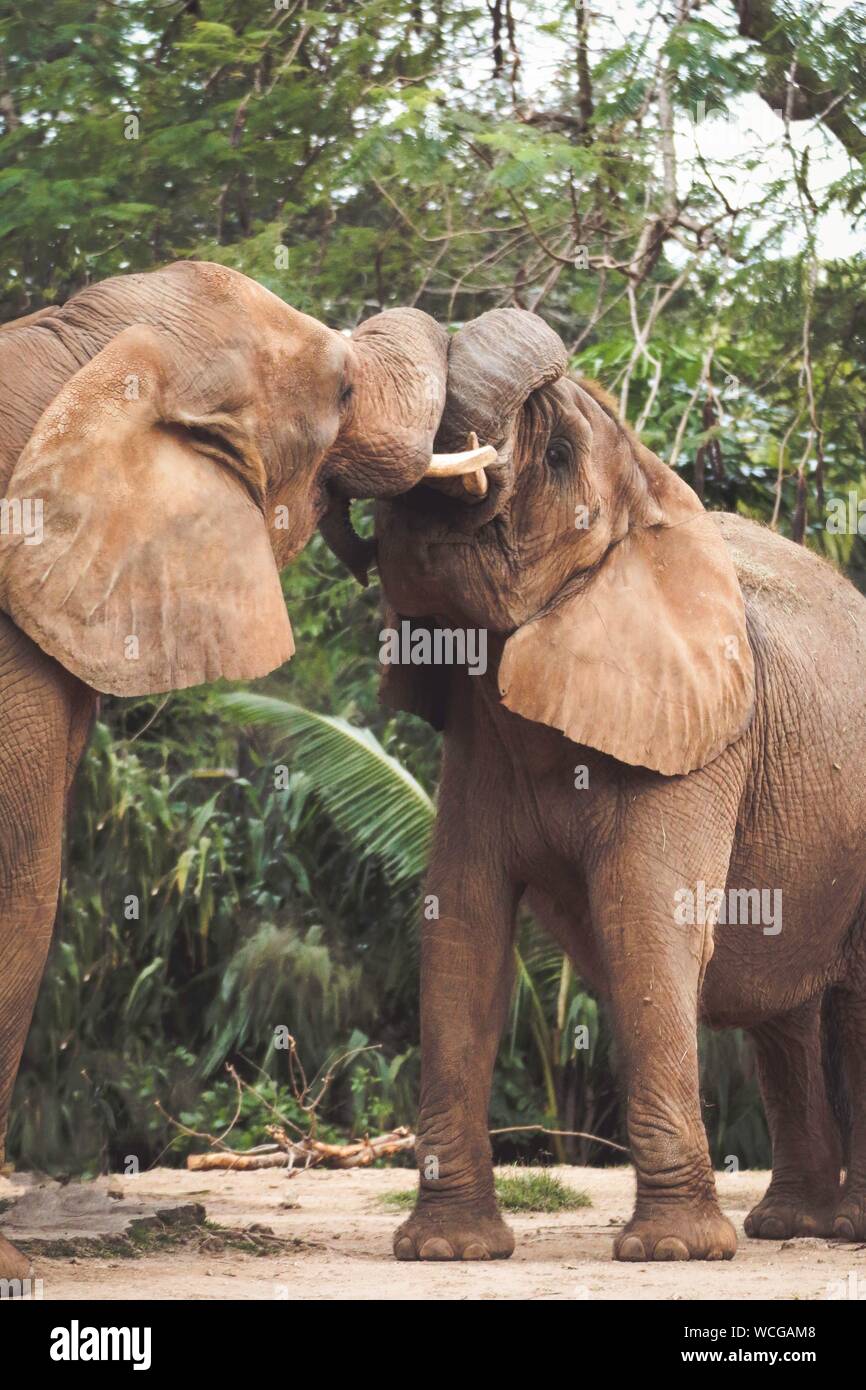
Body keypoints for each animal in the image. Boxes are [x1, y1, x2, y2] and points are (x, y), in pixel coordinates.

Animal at [372, 306, 866, 1263]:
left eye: (560, 455)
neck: (646, 484)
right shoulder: (475, 744)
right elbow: (461, 926)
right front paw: (447, 1251)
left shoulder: (703, 737)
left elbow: (644, 916)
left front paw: (673, 1252)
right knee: (786, 1010)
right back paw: (793, 1227)